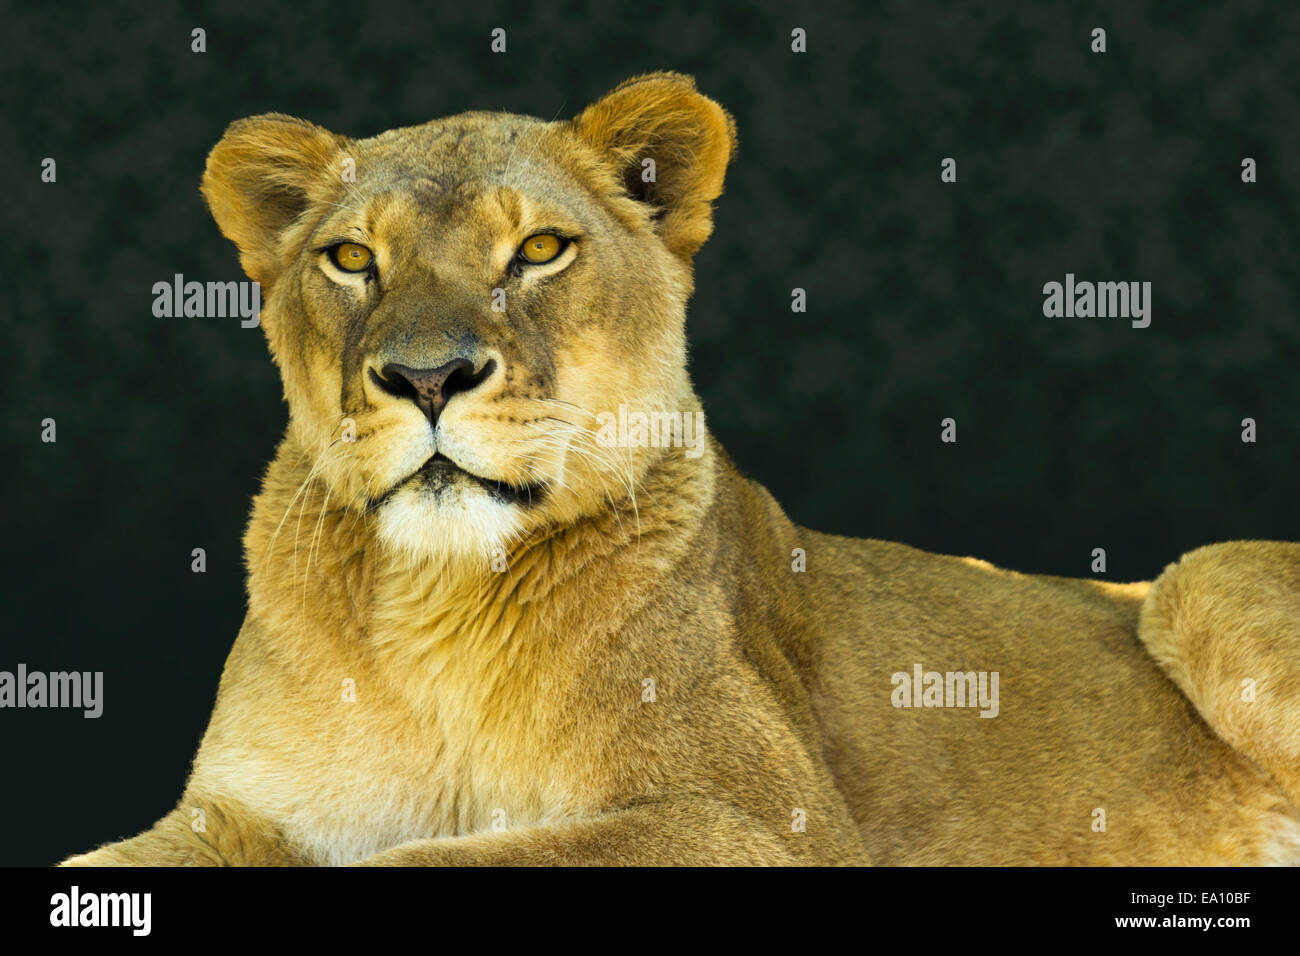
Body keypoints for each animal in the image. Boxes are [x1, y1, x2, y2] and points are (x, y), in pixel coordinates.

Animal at [63, 73, 1300, 866]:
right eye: (351, 257)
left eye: (540, 248)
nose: (425, 375)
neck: (435, 603)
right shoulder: (233, 809)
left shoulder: (769, 823)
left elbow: (450, 856)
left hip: (1202, 580)